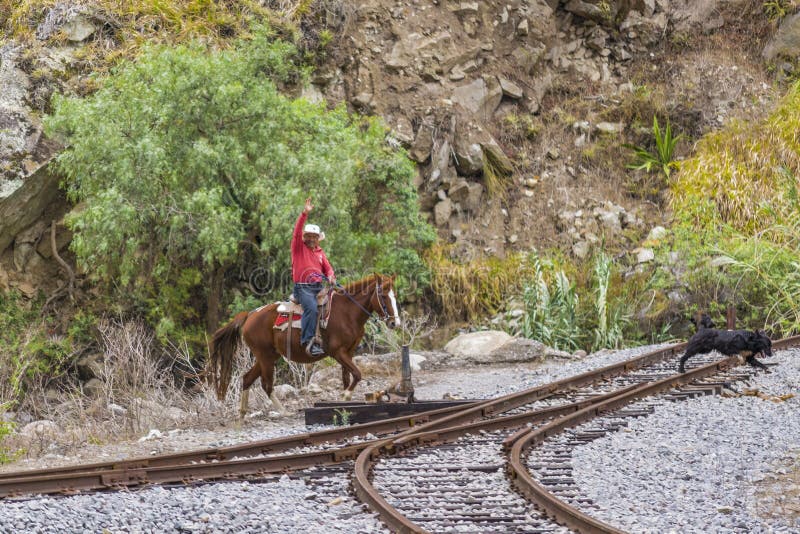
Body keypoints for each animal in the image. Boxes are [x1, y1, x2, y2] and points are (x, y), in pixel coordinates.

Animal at [206, 273, 400, 416]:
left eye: (394, 296)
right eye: (383, 296)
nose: (394, 323)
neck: (347, 312)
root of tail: (250, 315)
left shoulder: (349, 352)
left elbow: (348, 377)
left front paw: (345, 400)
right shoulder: (337, 352)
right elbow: (358, 374)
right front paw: (345, 395)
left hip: (268, 356)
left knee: (247, 378)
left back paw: (242, 412)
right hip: (265, 356)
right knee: (266, 384)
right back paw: (284, 412)